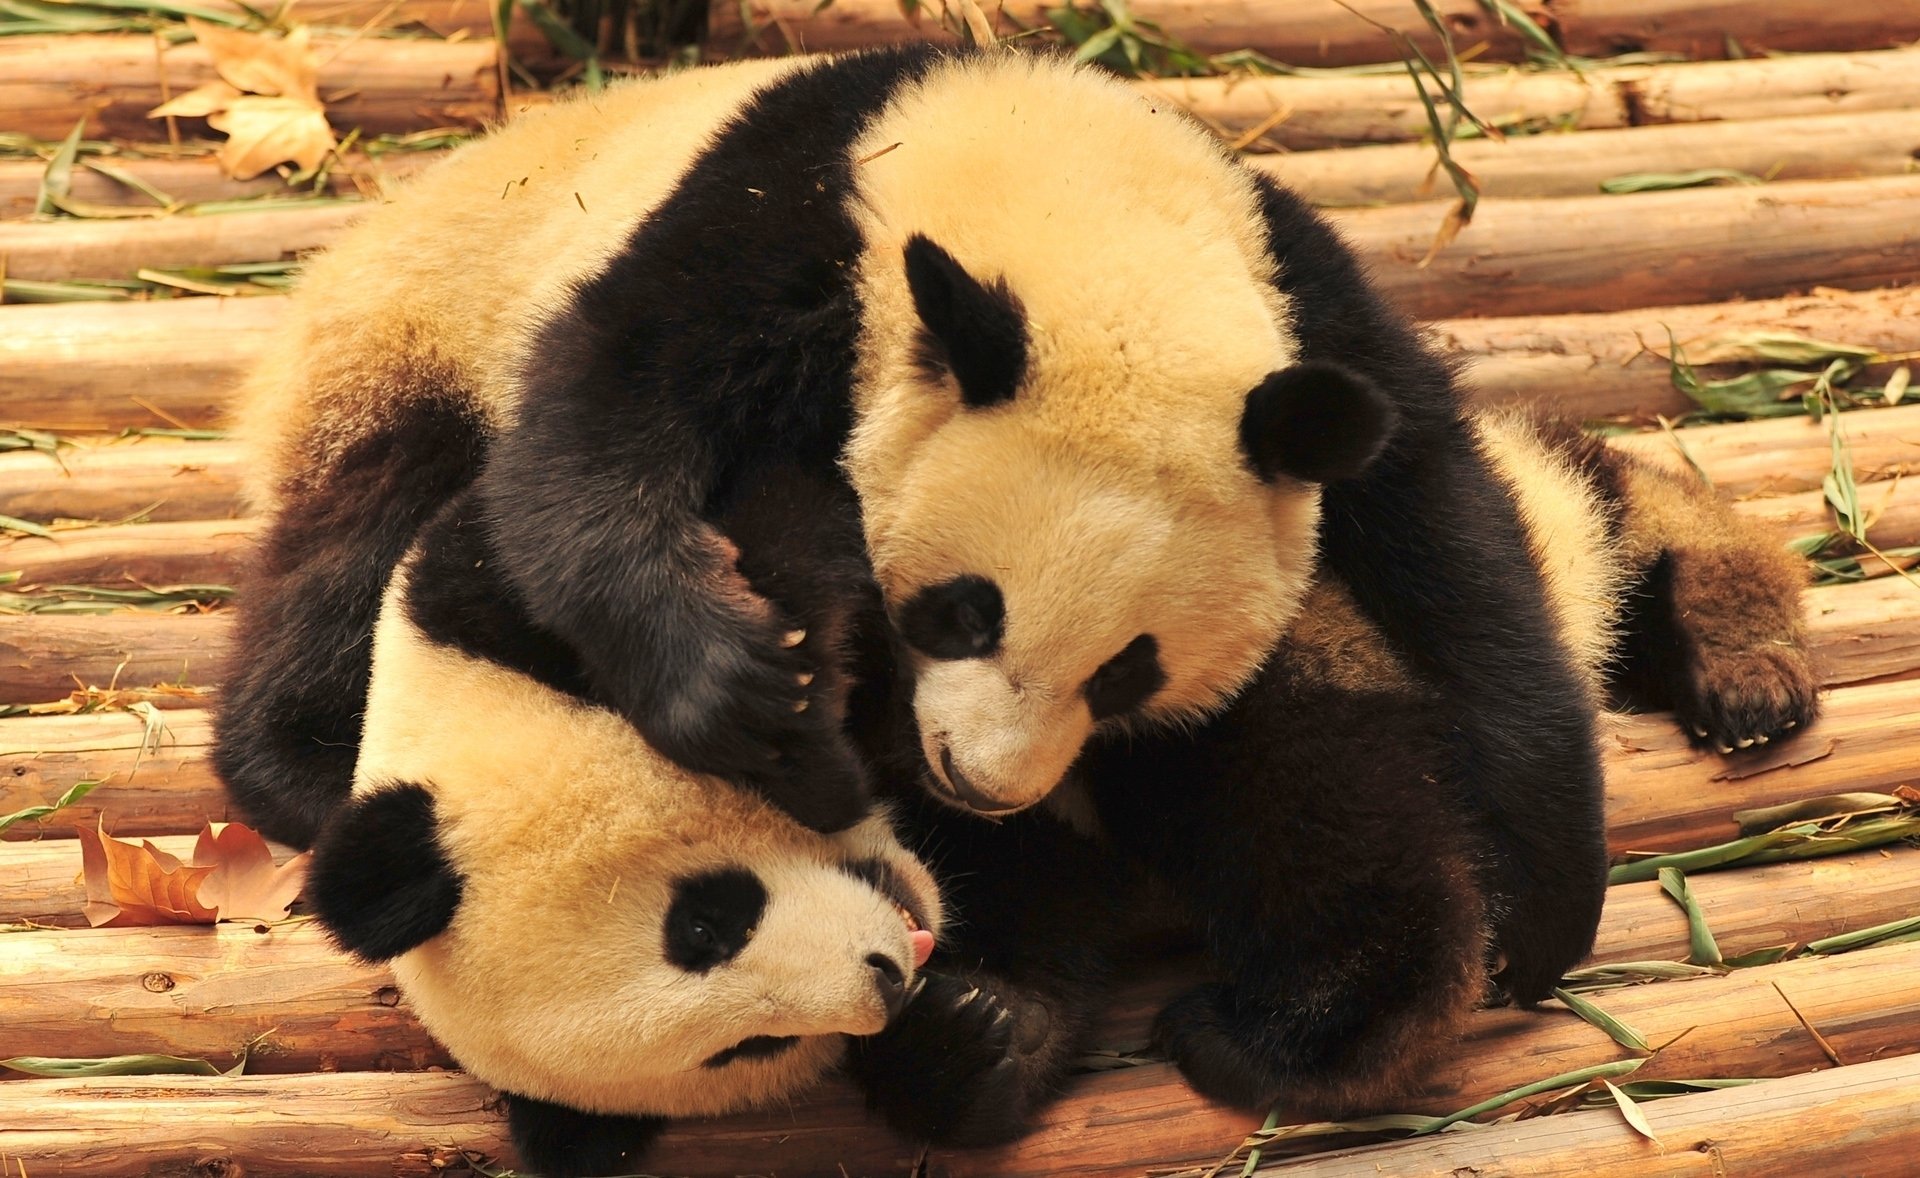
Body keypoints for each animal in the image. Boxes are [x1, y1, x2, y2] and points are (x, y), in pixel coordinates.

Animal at [219, 43, 1605, 1016]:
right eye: (964, 609)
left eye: (1128, 670)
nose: (980, 783)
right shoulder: (771, 232)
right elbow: (593, 431)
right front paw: (742, 691)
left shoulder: (1306, 300)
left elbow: (1454, 540)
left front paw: (1545, 899)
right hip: (412, 340)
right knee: (360, 545)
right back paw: (302, 762)